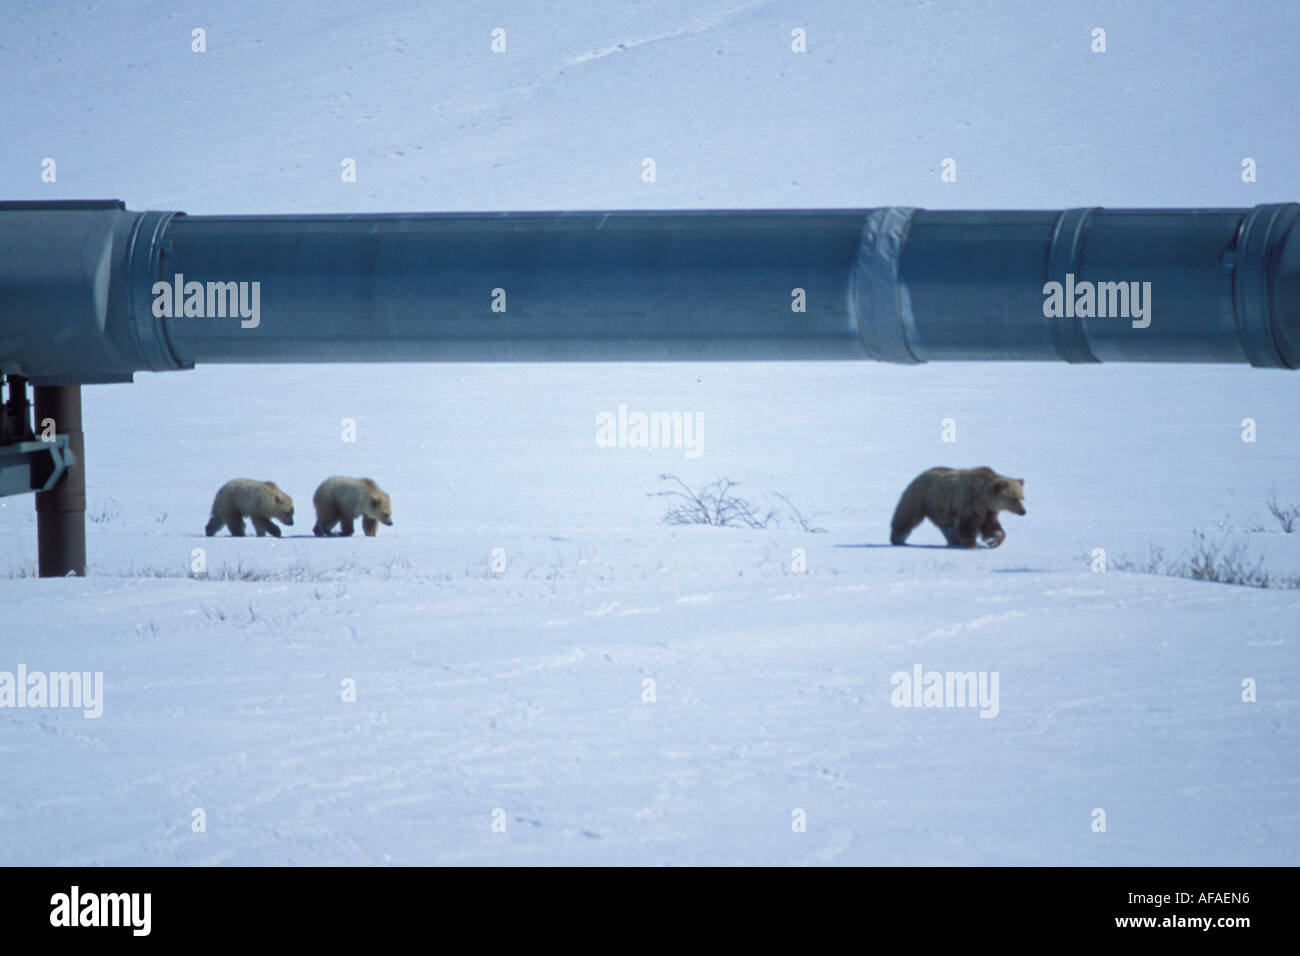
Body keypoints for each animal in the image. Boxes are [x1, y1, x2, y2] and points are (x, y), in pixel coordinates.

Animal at [890, 466, 1025, 548]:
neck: (984, 497)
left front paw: (994, 540)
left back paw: (953, 541)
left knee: (948, 527)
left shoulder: (989, 510)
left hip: (942, 508)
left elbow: (990, 526)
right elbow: (968, 524)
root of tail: (921, 473)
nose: (1023, 511)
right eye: (1014, 498)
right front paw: (972, 544)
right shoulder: (970, 502)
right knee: (906, 516)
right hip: (921, 497)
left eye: (1022, 497)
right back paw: (898, 538)